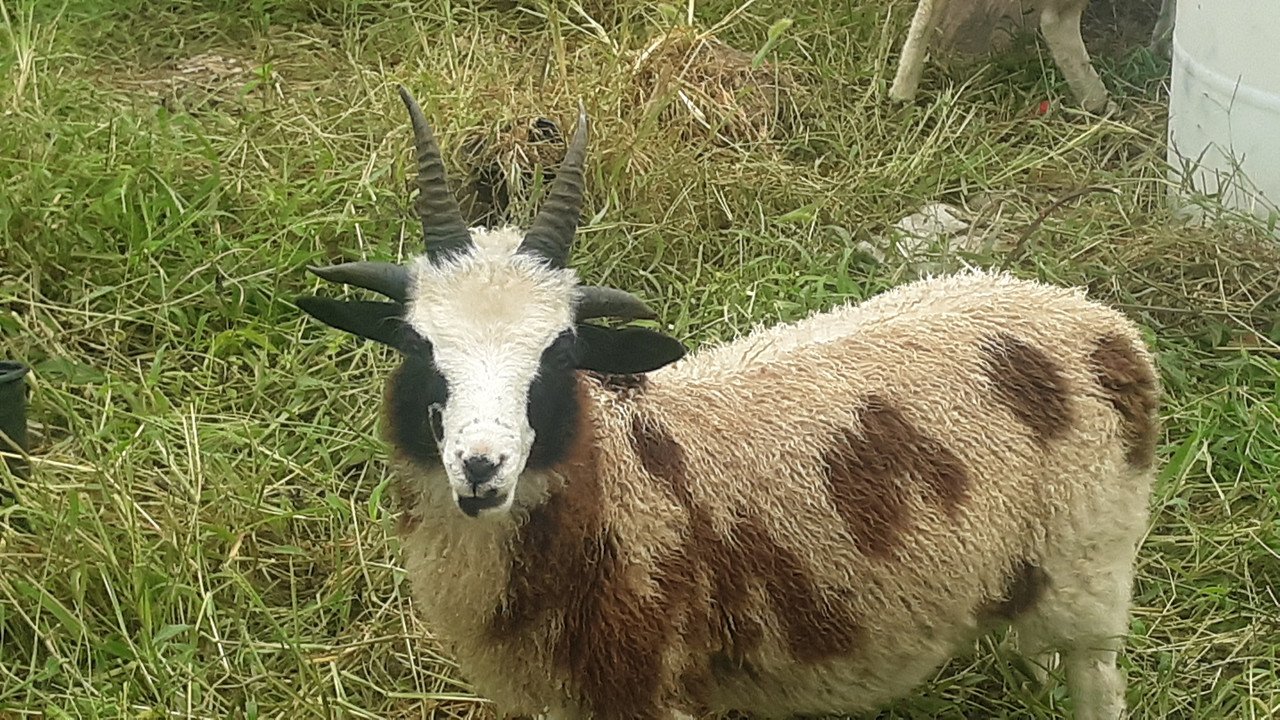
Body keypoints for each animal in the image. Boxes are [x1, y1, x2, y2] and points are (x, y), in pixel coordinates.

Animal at [296, 85, 1162, 720]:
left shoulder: (650, 684)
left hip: (1092, 557)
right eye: (416, 347)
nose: (482, 467)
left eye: (560, 356)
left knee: (1097, 678)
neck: (609, 480)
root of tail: (1093, 317)